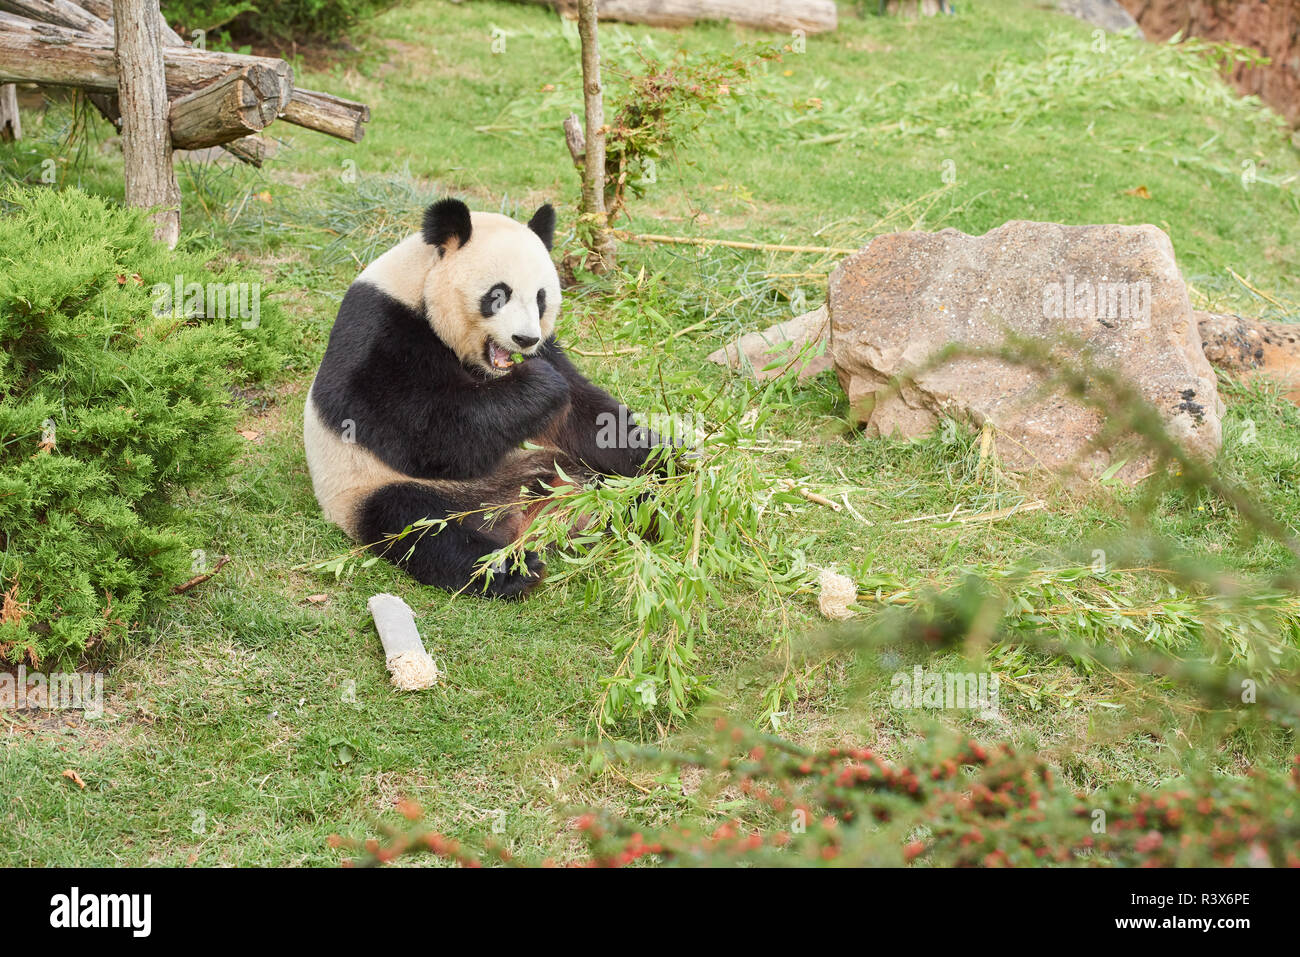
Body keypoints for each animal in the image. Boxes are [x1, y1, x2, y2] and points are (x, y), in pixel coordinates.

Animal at [304, 197, 664, 598]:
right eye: (498, 295)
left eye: (540, 299)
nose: (524, 339)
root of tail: (517, 518)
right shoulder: (378, 328)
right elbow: (422, 429)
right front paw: (540, 384)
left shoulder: (548, 349)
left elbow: (590, 420)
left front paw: (670, 461)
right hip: (372, 488)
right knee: (418, 526)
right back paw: (510, 568)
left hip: (567, 471)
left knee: (616, 492)